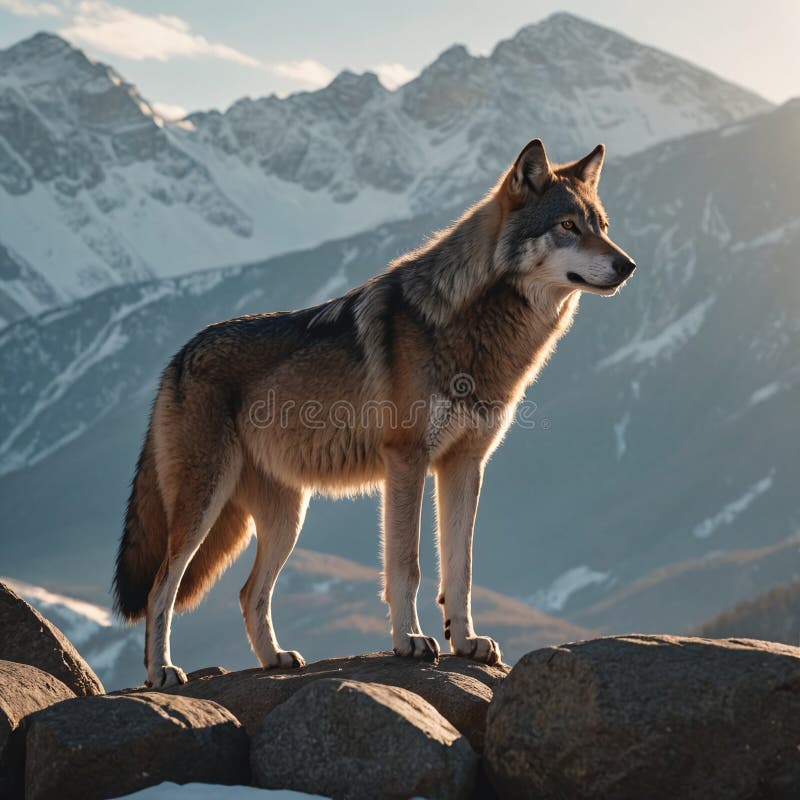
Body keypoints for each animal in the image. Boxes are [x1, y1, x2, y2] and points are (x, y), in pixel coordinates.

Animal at [113, 138, 636, 688]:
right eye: (568, 226)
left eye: (602, 225)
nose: (628, 265)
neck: (475, 327)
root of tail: (176, 358)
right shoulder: (407, 460)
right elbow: (407, 565)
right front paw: (410, 640)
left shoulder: (465, 465)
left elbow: (461, 568)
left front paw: (466, 642)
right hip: (204, 507)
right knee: (161, 588)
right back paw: (162, 672)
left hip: (286, 518)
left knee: (248, 592)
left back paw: (274, 659)